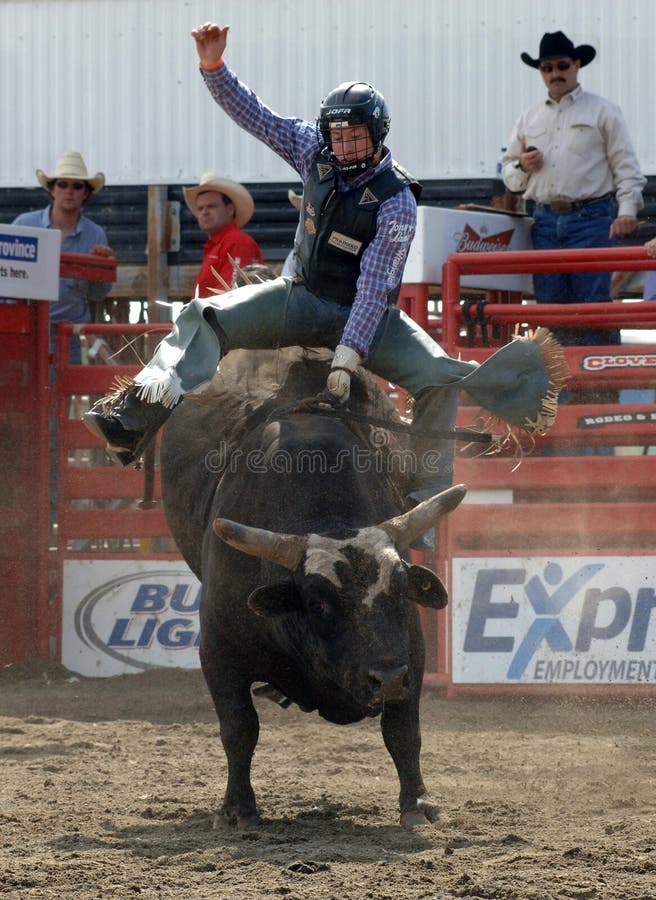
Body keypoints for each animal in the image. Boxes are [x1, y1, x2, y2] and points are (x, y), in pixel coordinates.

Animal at [160, 346, 466, 829]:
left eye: (401, 589)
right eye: (318, 604)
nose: (386, 679)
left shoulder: (411, 653)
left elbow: (403, 730)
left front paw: (416, 803)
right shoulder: (218, 651)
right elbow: (238, 727)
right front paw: (237, 809)